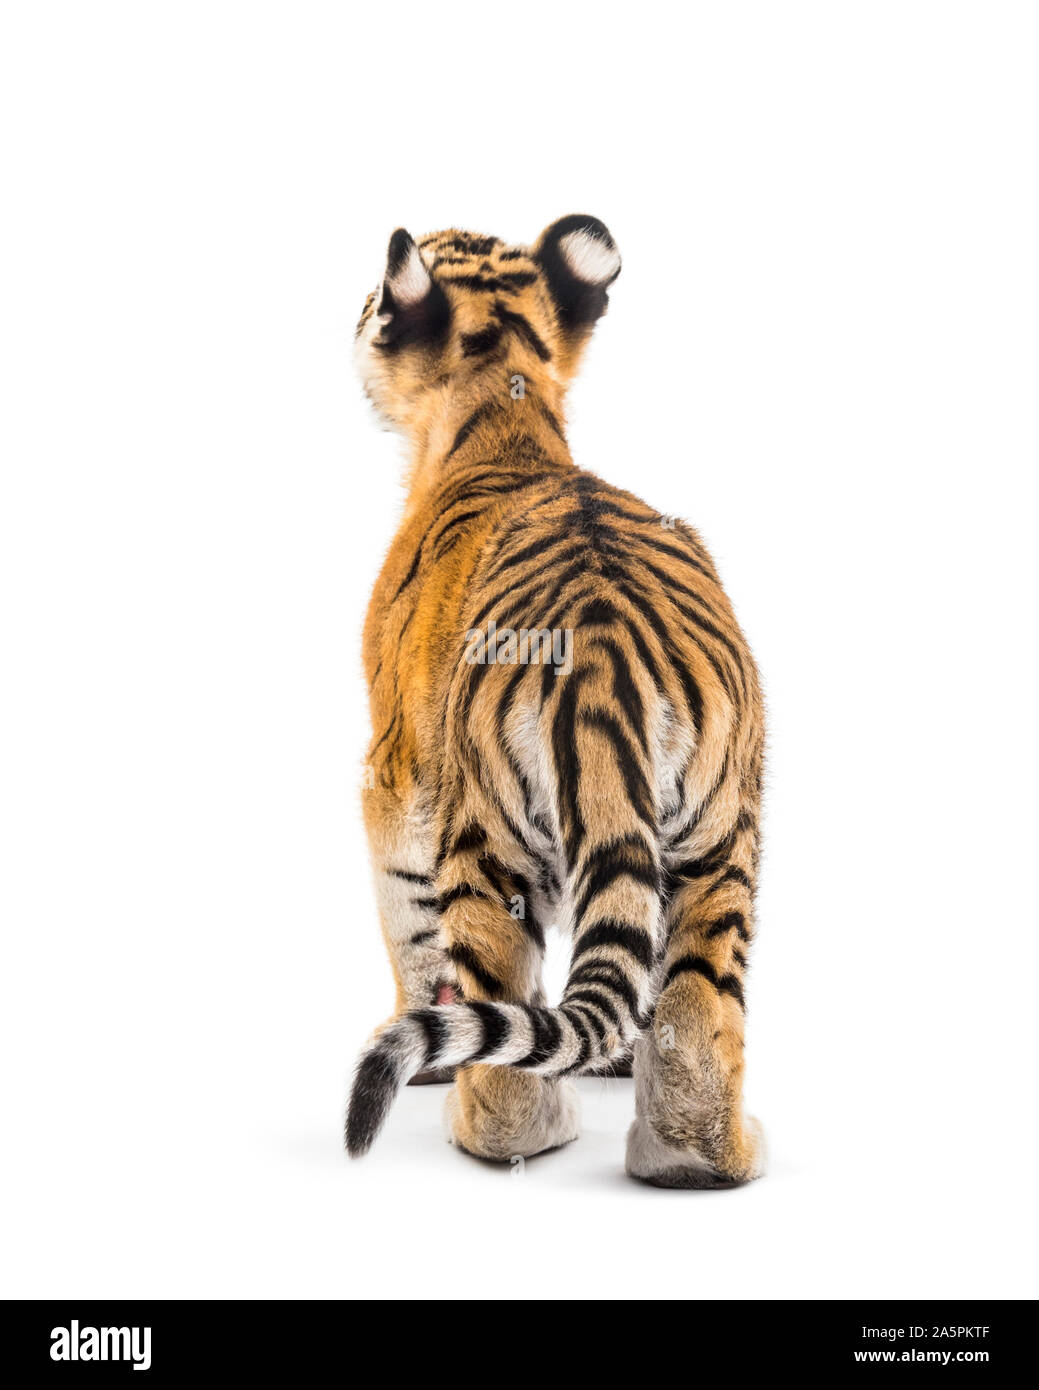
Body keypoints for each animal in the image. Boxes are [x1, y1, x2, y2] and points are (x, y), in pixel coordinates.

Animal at [345, 215, 765, 1187]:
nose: (351, 311)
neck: (504, 408)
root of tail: (604, 659)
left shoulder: (392, 775)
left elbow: (407, 925)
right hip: (718, 837)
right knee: (694, 1016)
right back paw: (699, 1156)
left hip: (485, 839)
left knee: (500, 1049)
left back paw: (491, 1117)